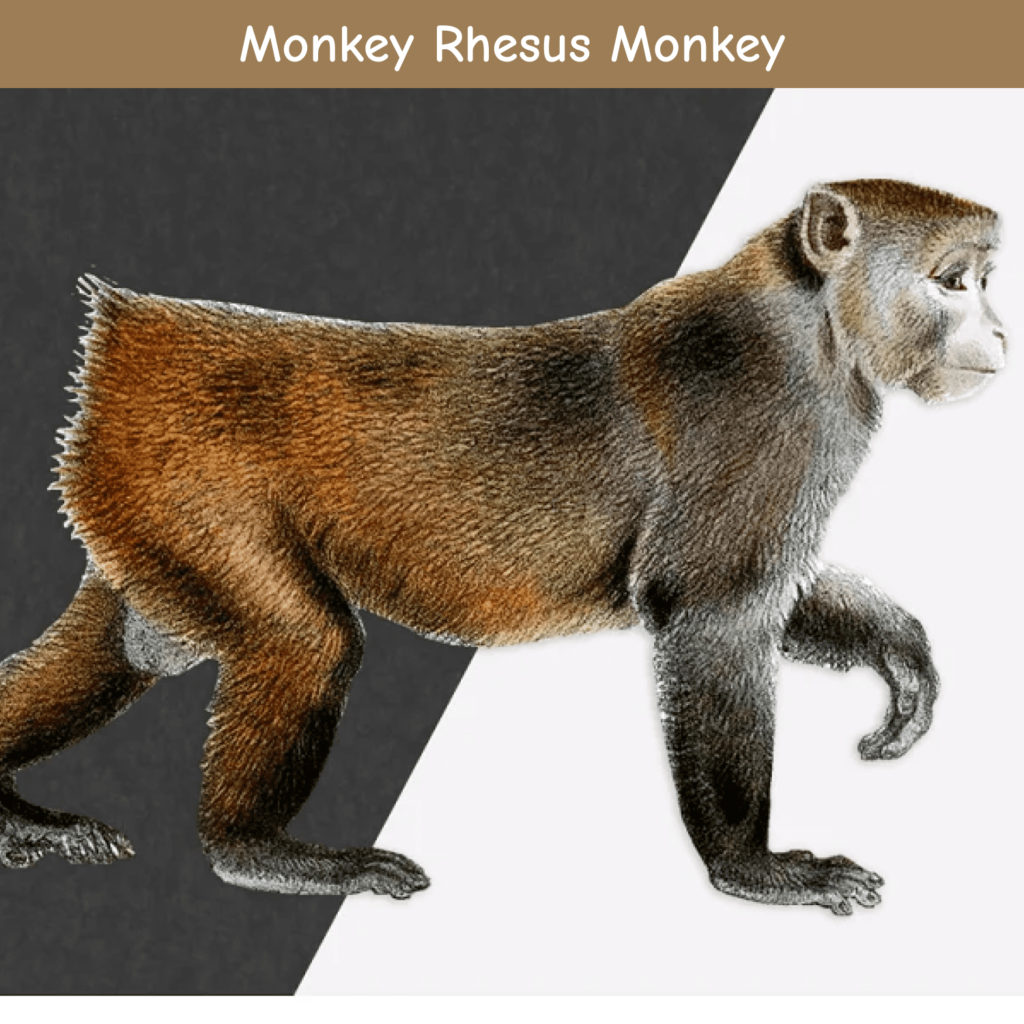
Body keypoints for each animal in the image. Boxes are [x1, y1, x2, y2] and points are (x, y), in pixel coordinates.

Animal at [0, 180, 1006, 914]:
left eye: (983, 280)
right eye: (955, 282)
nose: (998, 331)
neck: (813, 319)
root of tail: (136, 330)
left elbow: (755, 599)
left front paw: (899, 652)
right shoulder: (776, 412)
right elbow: (709, 610)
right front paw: (751, 867)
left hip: (134, 496)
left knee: (135, 645)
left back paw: (20, 816)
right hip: (179, 477)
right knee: (301, 639)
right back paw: (255, 852)